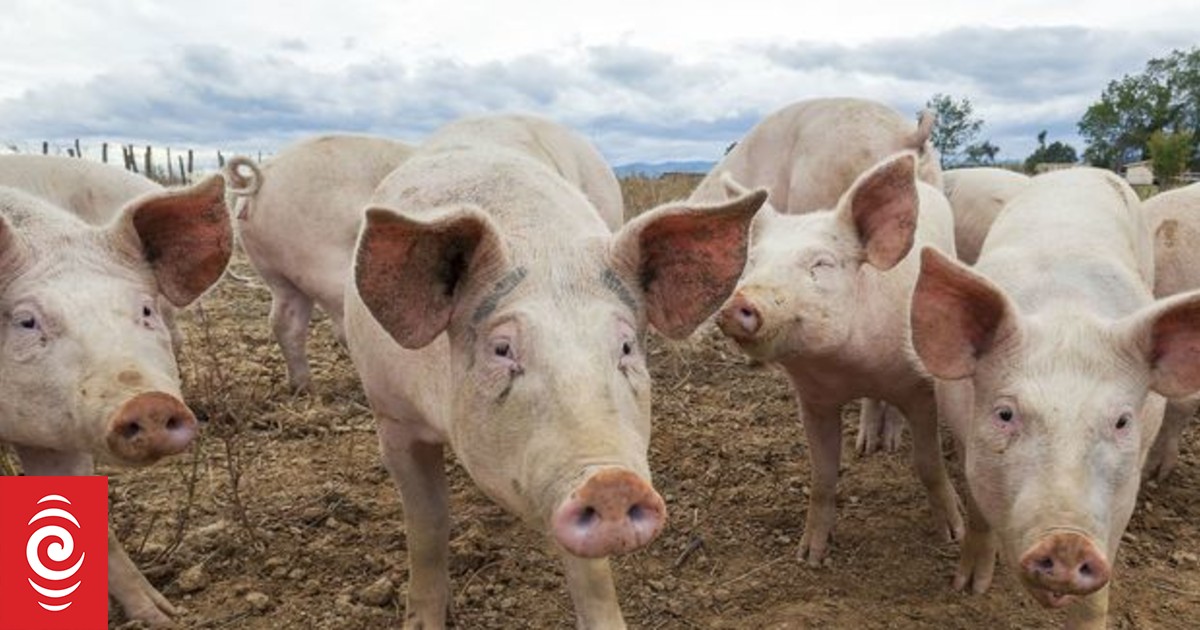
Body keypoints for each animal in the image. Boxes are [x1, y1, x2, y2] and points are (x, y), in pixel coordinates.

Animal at [224, 135, 416, 392]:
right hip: (325, 260)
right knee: (346, 326)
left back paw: (302, 387)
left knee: (284, 321)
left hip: (277, 270)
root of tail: (262, 176)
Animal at [343, 113, 767, 628]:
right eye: (502, 349)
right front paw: (424, 620)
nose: (611, 483)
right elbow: (426, 525)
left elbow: (590, 570)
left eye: (626, 346)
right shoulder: (392, 416)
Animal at [714, 152, 964, 565]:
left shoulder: (920, 388)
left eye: (821, 264)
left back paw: (888, 444)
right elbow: (823, 475)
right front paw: (809, 557)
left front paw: (954, 535)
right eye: (754, 262)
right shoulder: (813, 402)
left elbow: (928, 462)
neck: (850, 368)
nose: (738, 304)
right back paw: (865, 445)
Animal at [910, 168, 1200, 628]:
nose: (1067, 542)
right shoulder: (965, 430)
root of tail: (1080, 169)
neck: (1066, 311)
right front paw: (969, 587)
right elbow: (977, 510)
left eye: (1122, 421)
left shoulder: (1124, 489)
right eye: (1005, 413)